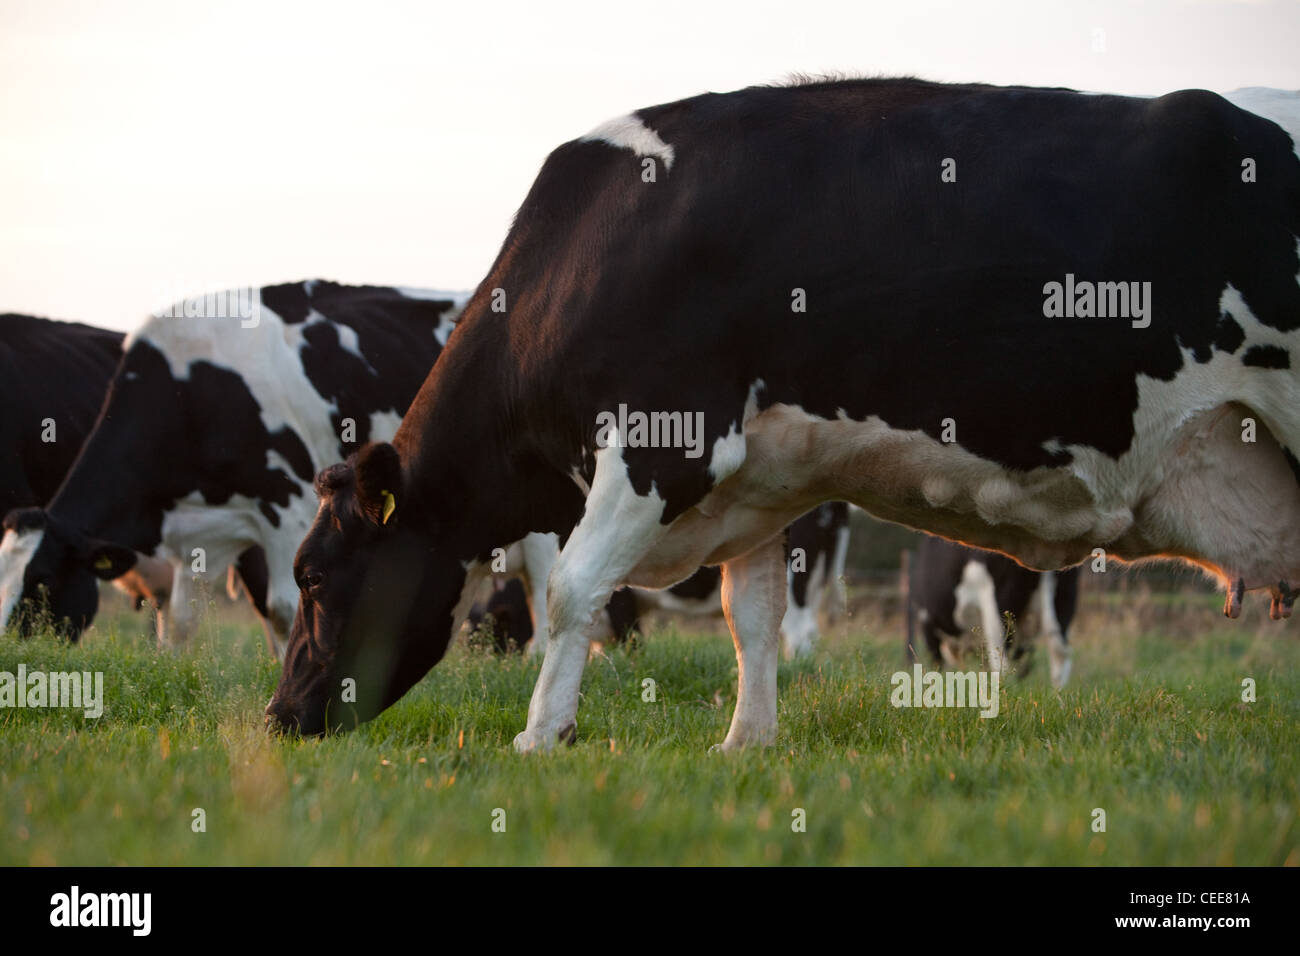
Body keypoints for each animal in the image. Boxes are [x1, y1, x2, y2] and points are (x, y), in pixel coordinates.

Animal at [905, 535, 1080, 688]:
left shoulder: (927, 621)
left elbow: (936, 664)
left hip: (995, 608)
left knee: (1003, 660)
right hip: (1065, 596)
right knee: (1059, 652)